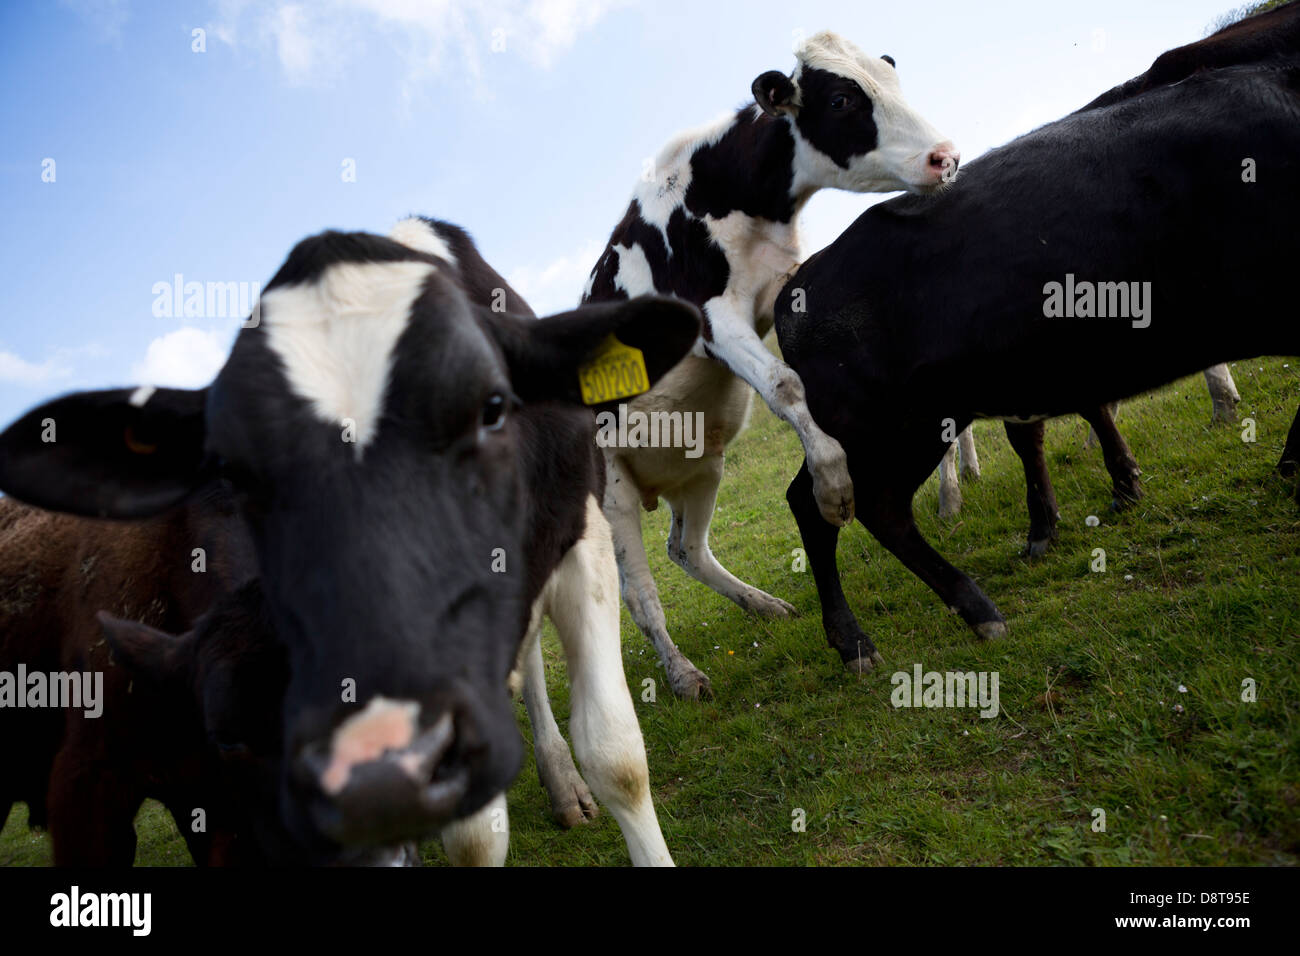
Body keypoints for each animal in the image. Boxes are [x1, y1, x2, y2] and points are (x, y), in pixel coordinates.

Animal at [0, 217, 700, 864]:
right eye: (232, 471)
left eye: (493, 407)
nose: (373, 773)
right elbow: (474, 836)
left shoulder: (584, 541)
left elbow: (615, 756)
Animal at [582, 30, 958, 698]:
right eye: (840, 100)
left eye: (891, 81)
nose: (945, 157)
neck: (725, 196)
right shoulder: (714, 320)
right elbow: (786, 384)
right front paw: (833, 484)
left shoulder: (785, 282)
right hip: (614, 490)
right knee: (640, 596)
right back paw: (683, 675)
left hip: (700, 465)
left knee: (686, 549)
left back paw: (763, 604)